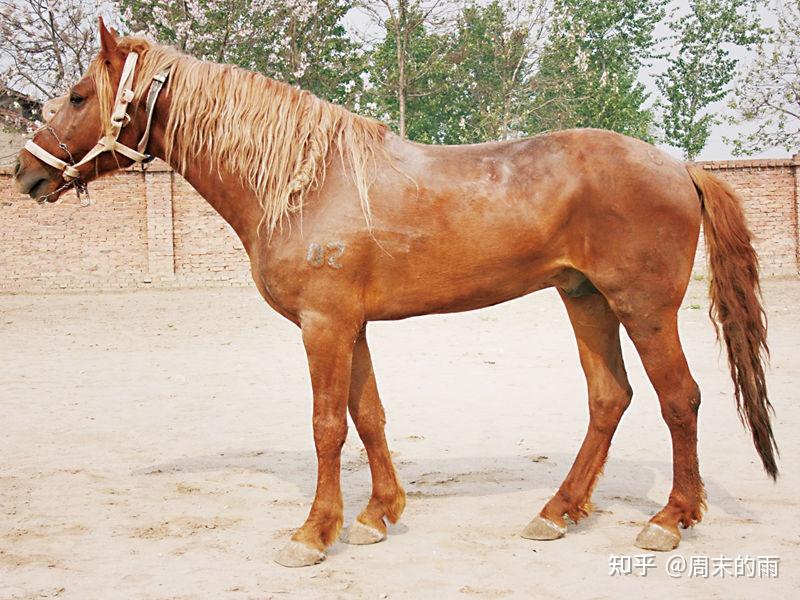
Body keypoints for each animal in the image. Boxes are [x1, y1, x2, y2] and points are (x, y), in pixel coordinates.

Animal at [14, 20, 777, 567]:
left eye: (79, 96)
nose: (25, 171)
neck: (304, 181)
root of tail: (680, 167)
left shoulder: (323, 323)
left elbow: (326, 424)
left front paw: (312, 535)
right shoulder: (349, 324)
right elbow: (370, 415)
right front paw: (377, 516)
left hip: (643, 309)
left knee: (680, 400)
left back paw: (669, 521)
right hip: (584, 298)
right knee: (608, 399)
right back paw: (556, 513)